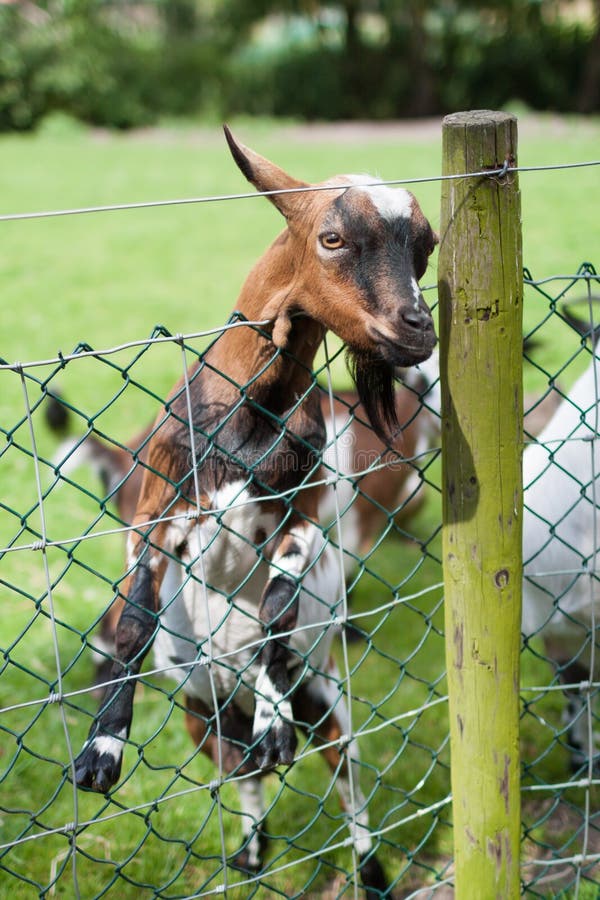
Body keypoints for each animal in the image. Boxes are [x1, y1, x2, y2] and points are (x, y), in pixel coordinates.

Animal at [71, 127, 437, 893]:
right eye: (332, 237)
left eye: (427, 246)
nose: (418, 330)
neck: (251, 412)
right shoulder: (154, 515)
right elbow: (133, 623)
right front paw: (101, 751)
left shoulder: (302, 518)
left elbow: (276, 610)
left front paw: (274, 726)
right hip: (201, 711)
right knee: (239, 773)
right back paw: (250, 850)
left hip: (326, 700)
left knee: (343, 777)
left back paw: (370, 870)